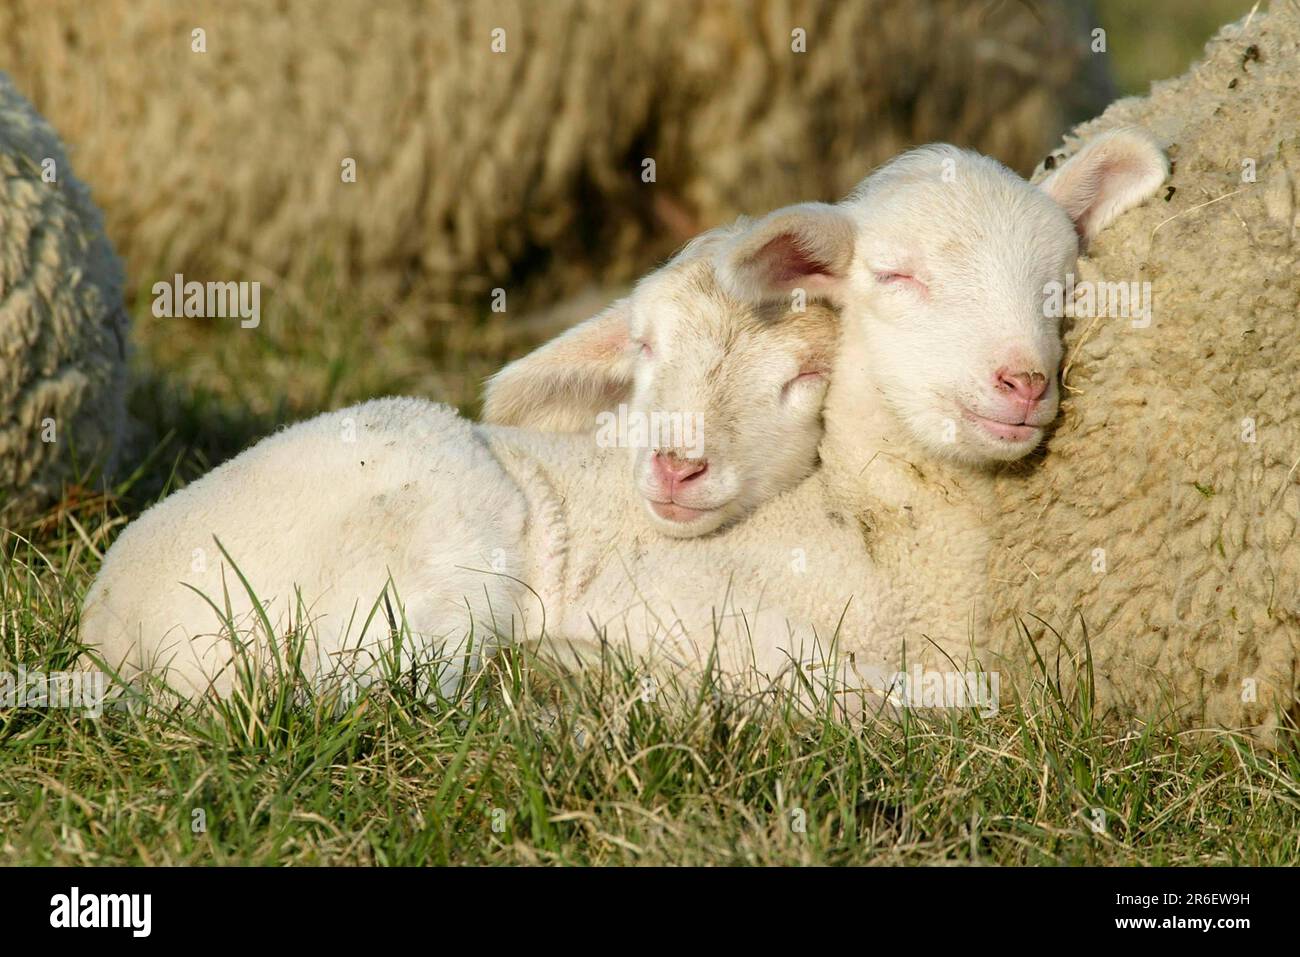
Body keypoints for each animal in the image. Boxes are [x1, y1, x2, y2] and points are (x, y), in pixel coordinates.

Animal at [79, 133, 1163, 710]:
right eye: (896, 277)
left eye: (1062, 289)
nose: (1022, 381)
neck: (871, 535)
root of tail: (112, 629)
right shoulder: (678, 602)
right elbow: (863, 694)